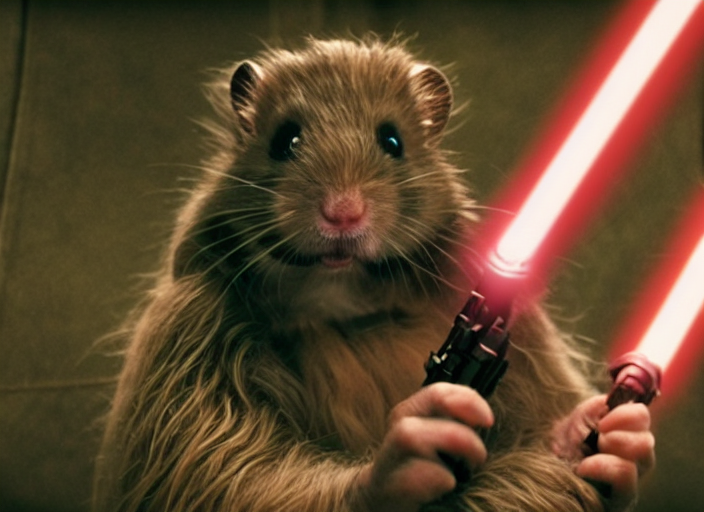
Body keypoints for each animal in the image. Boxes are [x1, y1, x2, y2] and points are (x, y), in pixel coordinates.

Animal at [94, 37, 653, 512]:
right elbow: (247, 480)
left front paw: (620, 431)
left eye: (393, 141)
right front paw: (414, 442)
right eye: (284, 140)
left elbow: (551, 429)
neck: (344, 301)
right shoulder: (192, 363)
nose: (343, 214)